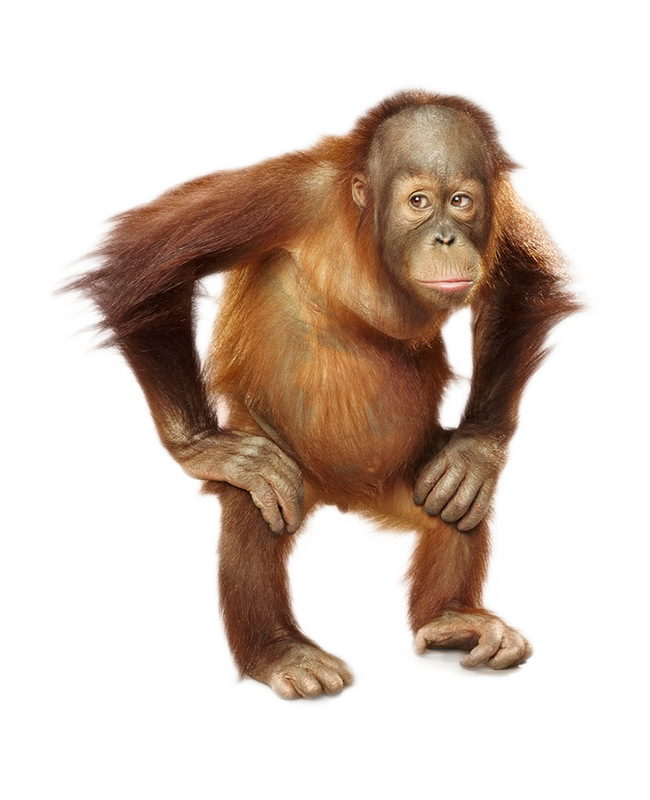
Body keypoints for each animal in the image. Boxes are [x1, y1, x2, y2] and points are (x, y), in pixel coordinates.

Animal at [52, 86, 592, 700]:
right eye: (418, 202)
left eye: (460, 201)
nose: (446, 236)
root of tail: (341, 495)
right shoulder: (292, 194)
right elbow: (140, 265)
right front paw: (201, 448)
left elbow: (523, 281)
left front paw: (476, 448)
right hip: (290, 476)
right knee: (252, 506)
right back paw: (280, 652)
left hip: (407, 477)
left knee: (457, 505)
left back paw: (454, 616)